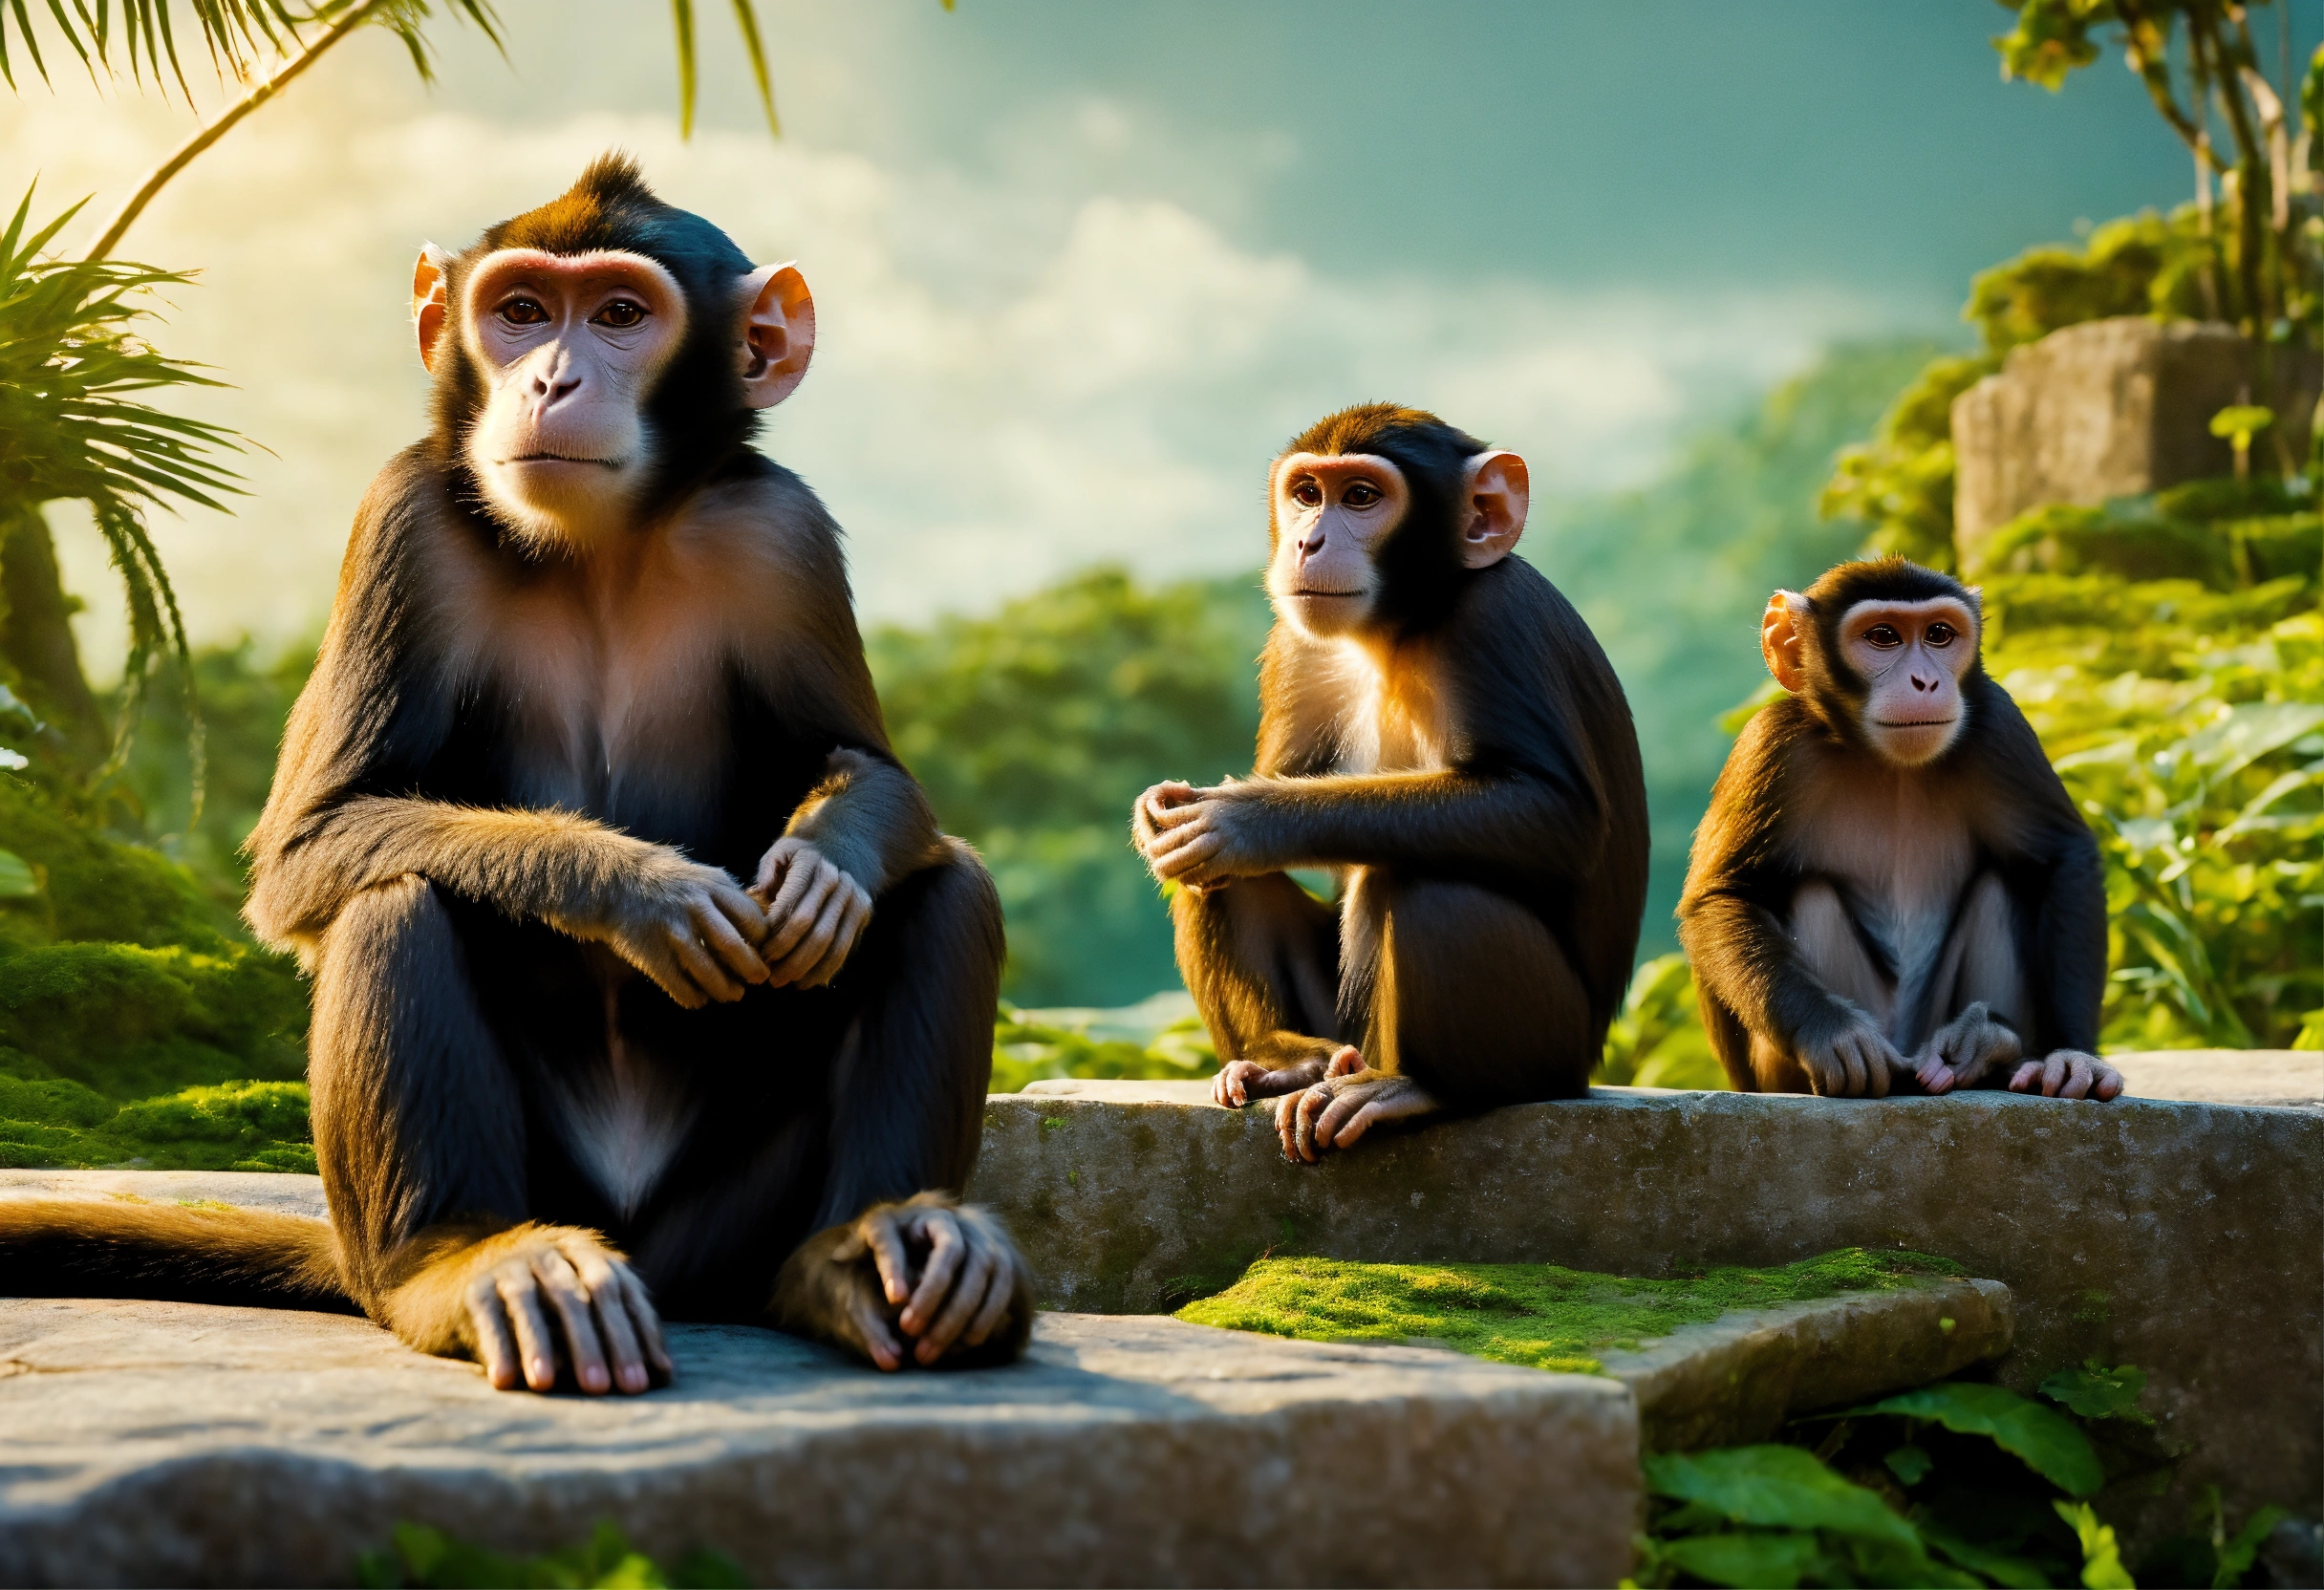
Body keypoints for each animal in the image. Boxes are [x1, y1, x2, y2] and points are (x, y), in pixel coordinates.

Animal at [0, 156, 1033, 1391]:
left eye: (622, 315)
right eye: (525, 310)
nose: (550, 377)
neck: (603, 546)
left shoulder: (779, 530)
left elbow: (874, 771)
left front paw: (822, 867)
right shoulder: (401, 518)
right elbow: (312, 843)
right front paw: (640, 889)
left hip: (722, 1229)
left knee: (946, 884)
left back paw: (867, 1244)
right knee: (396, 895)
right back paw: (469, 1262)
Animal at [1132, 403, 1649, 1163]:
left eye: (1361, 498)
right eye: (1307, 494)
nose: (1308, 541)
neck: (1396, 629)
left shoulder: (1498, 616)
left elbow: (1551, 812)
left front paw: (1245, 818)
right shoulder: (1295, 645)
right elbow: (1211, 820)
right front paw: (1161, 812)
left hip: (1552, 1050)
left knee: (1430, 885)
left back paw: (1416, 1087)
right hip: (1341, 1029)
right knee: (1208, 875)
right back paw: (1287, 1060)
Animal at [1677, 556, 2123, 1102]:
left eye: (1939, 634)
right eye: (1883, 636)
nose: (1925, 681)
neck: (1887, 763)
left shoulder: (1999, 723)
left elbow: (2060, 858)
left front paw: (2071, 1055)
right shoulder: (1772, 745)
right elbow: (1723, 895)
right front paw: (1830, 1032)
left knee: (2000, 886)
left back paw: (1984, 1048)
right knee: (1806, 893)